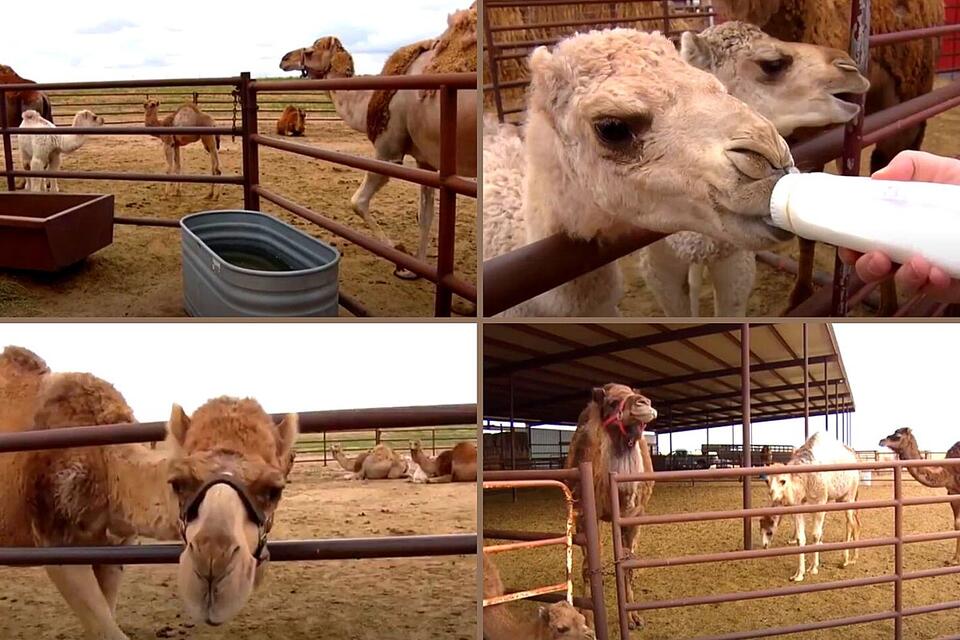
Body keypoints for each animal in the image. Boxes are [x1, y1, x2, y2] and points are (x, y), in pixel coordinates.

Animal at [0, 346, 298, 638]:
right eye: (178, 482)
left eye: (274, 491)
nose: (212, 566)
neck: (106, 465)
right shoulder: (54, 542)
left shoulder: (114, 545)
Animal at [278, 3, 477, 280]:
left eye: (312, 47)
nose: (284, 58)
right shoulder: (426, 160)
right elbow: (426, 213)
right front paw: (417, 268)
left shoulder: (389, 149)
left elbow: (358, 202)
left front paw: (400, 255)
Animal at [565, 383, 657, 629]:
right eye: (613, 403)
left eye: (635, 396)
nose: (644, 403)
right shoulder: (586, 514)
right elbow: (588, 566)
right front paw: (588, 618)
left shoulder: (635, 515)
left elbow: (628, 564)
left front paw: (633, 617)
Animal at [764, 432, 861, 582]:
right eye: (767, 481)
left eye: (783, 481)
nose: (772, 494)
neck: (805, 479)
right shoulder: (798, 505)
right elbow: (800, 538)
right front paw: (798, 574)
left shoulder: (820, 502)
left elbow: (815, 535)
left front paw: (814, 568)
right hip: (841, 498)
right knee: (853, 522)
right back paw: (852, 558)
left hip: (850, 495)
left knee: (850, 523)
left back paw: (846, 560)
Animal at [880, 427, 960, 565]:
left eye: (898, 435)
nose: (881, 441)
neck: (948, 470)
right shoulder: (952, 492)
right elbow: (957, 524)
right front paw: (955, 559)